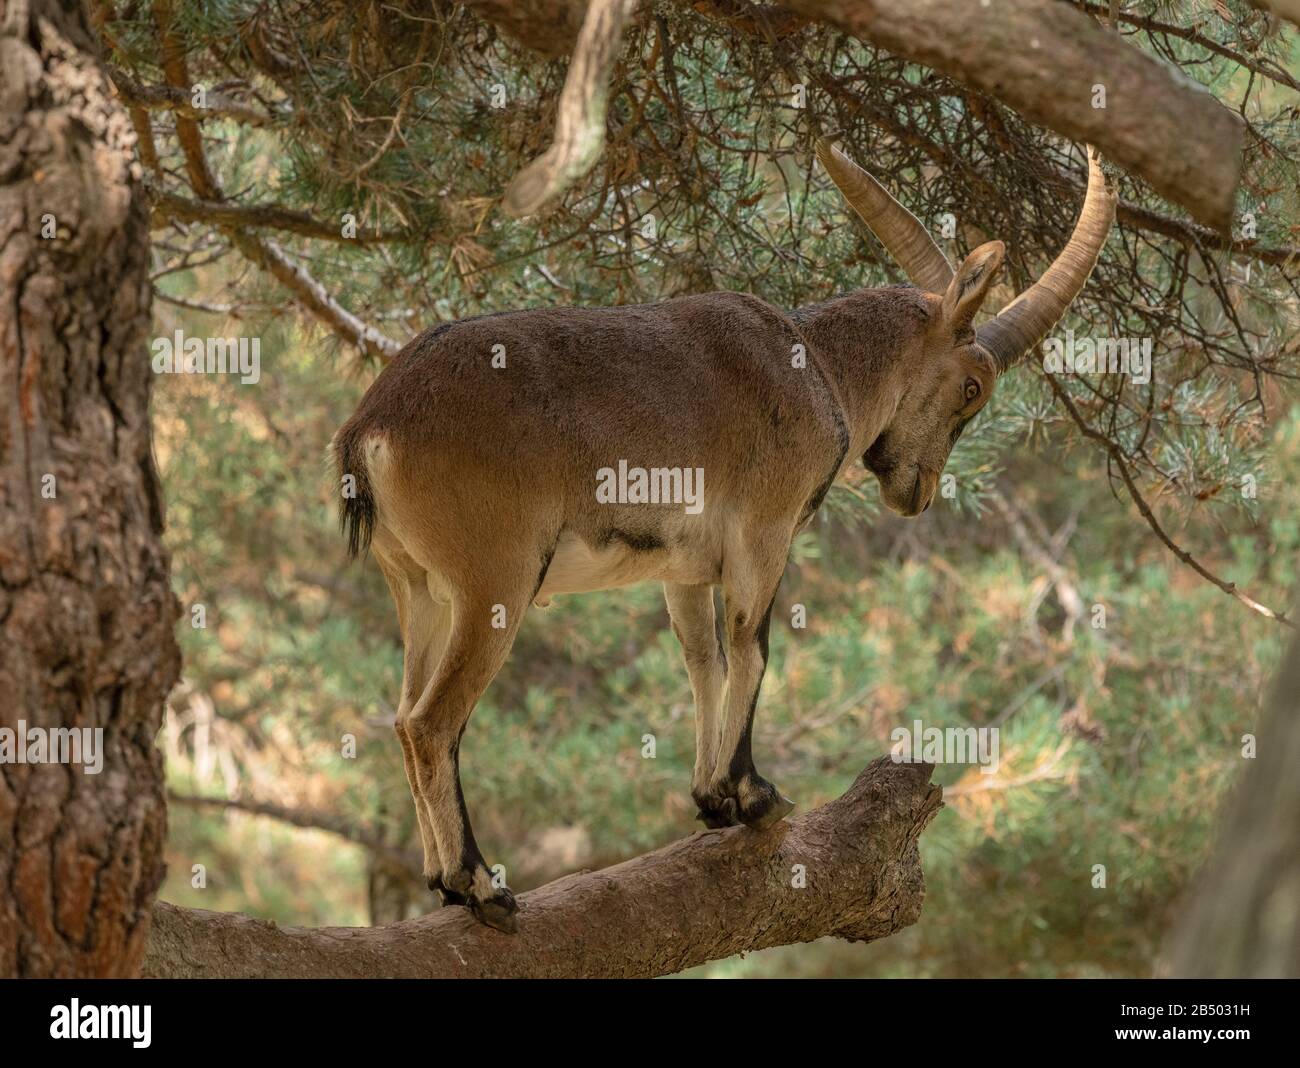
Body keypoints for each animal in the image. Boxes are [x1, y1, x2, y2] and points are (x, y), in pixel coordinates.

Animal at [331, 140, 1116, 931]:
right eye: (973, 387)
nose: (916, 493)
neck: (817, 366)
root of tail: (373, 426)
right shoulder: (763, 534)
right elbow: (752, 646)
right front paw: (755, 796)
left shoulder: (682, 570)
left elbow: (702, 660)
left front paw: (711, 799)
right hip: (495, 580)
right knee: (434, 722)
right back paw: (480, 886)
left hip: (420, 591)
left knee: (402, 717)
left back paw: (440, 878)